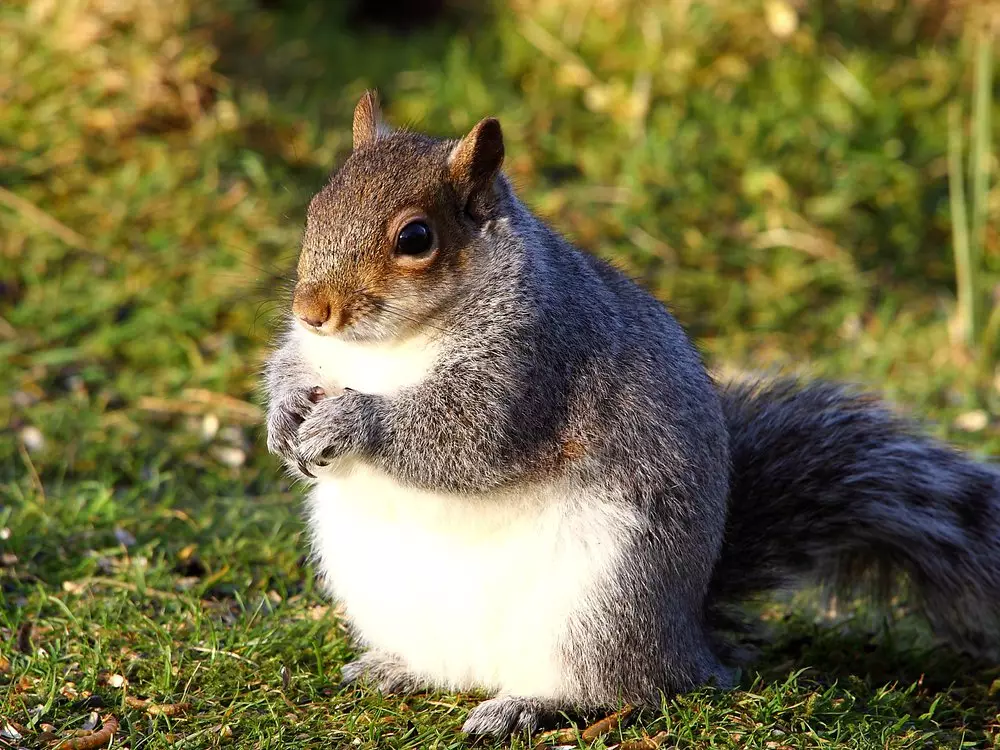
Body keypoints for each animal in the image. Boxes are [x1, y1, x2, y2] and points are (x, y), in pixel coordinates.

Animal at [264, 89, 1000, 740]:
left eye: (415, 237)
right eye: (317, 205)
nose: (312, 310)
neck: (388, 347)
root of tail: (689, 643)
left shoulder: (534, 365)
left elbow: (467, 437)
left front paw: (350, 422)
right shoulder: (318, 353)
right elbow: (293, 370)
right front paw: (283, 418)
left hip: (599, 607)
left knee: (619, 690)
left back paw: (524, 707)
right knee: (448, 668)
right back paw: (395, 668)